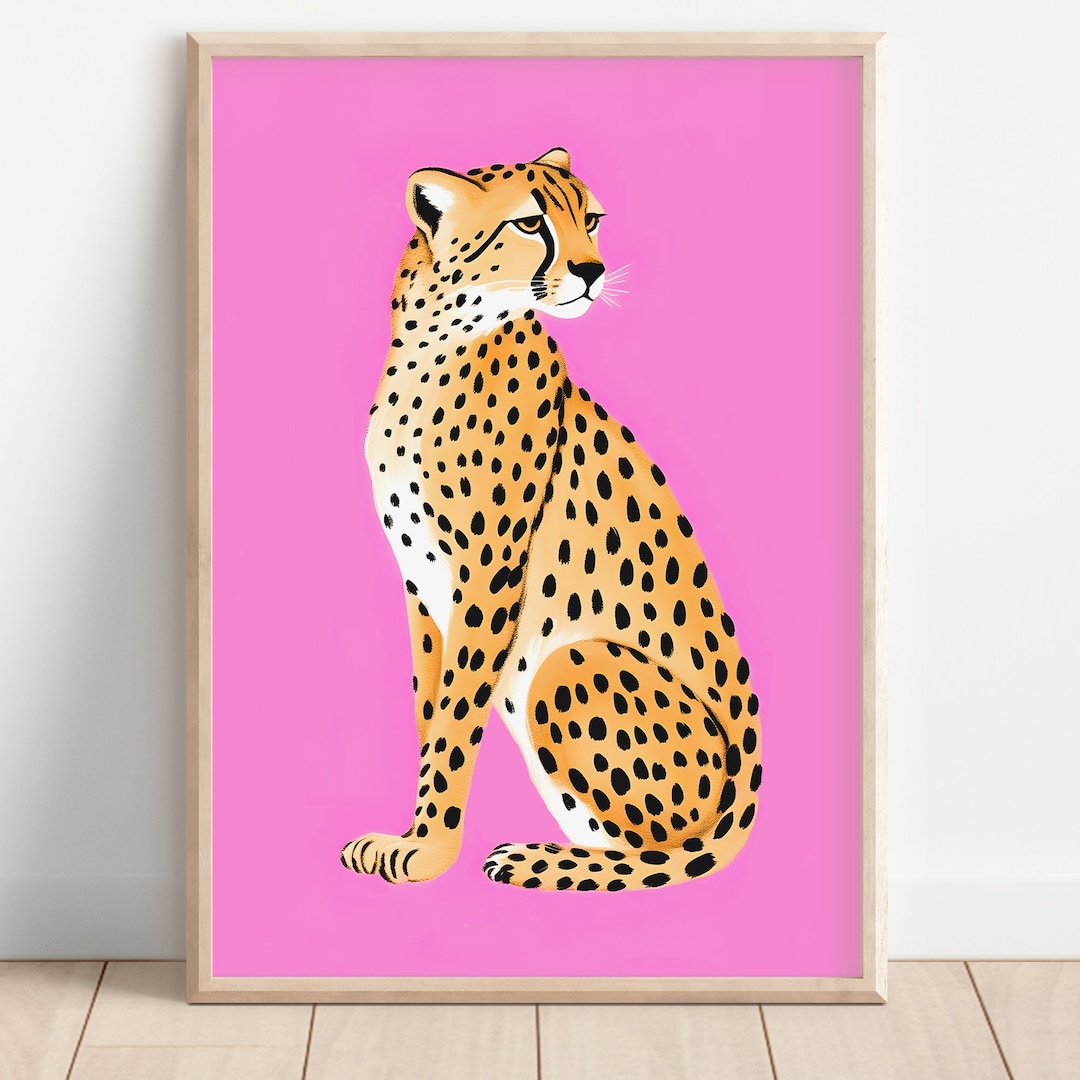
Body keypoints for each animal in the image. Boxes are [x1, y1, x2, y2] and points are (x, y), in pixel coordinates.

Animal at [341, 148, 761, 891]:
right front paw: (414, 835)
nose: (593, 270)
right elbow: (431, 709)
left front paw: (426, 850)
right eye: (531, 223)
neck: (433, 345)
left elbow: (454, 722)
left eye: (589, 219)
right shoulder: (421, 586)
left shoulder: (487, 575)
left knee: (656, 857)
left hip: (571, 660)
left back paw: (532, 859)